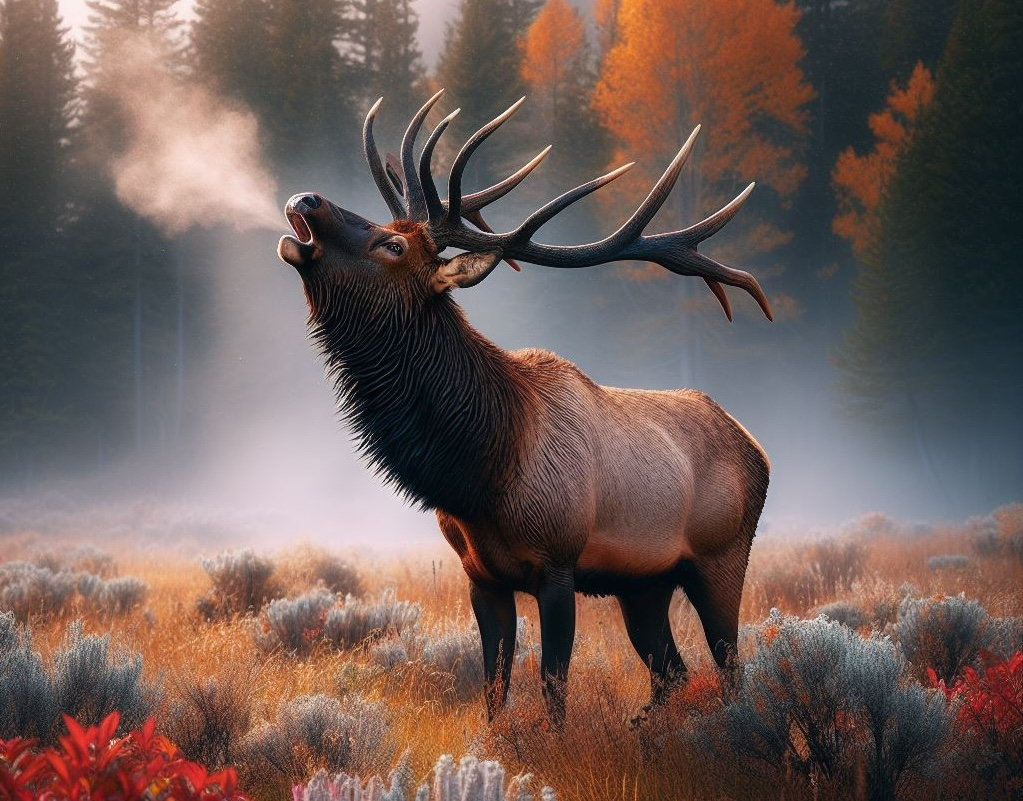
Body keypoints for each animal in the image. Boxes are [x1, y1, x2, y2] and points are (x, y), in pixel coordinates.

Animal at [276, 90, 772, 726]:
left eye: (393, 244)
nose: (306, 199)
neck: (481, 474)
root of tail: (758, 450)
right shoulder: (480, 576)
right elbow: (494, 690)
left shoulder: (558, 566)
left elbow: (553, 688)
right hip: (644, 585)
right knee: (672, 674)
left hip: (721, 557)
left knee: (730, 668)